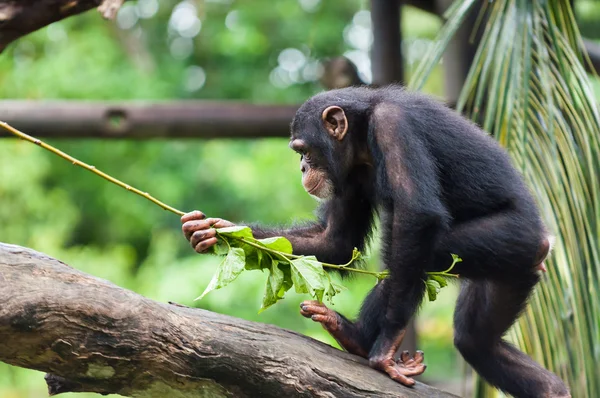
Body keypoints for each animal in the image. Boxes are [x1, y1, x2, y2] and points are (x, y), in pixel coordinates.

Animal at [183, 85, 572, 396]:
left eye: (304, 150)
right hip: (514, 272)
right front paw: (215, 230)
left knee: (417, 253)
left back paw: (360, 338)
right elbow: (335, 241)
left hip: (512, 237)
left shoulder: (393, 125)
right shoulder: (347, 175)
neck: (362, 134)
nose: (302, 168)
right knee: (477, 339)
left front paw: (384, 349)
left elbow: (417, 214)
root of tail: (545, 242)